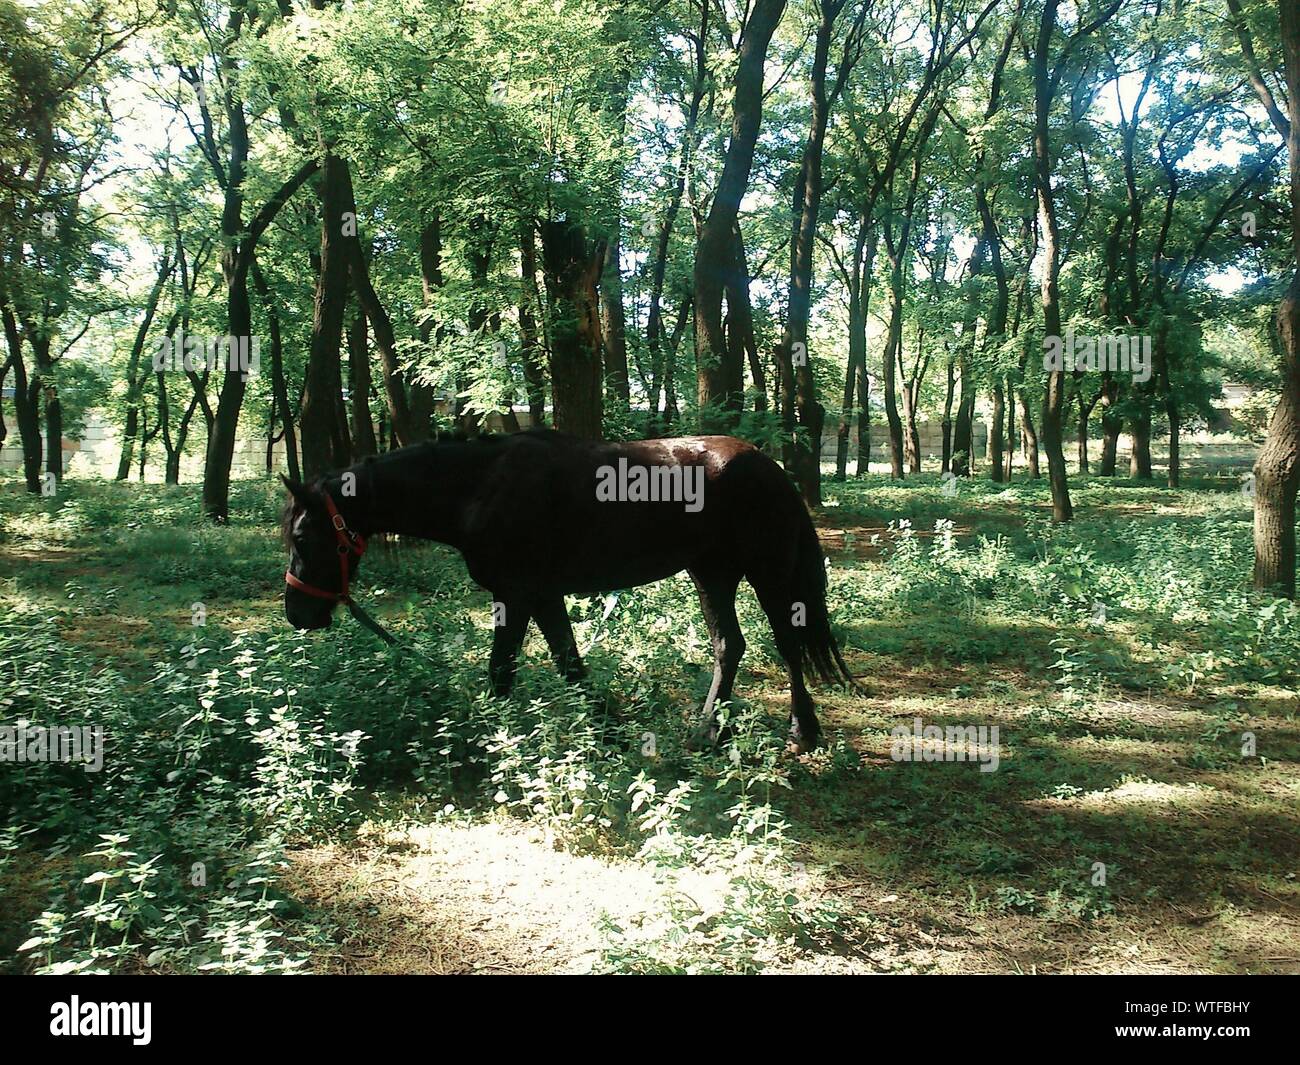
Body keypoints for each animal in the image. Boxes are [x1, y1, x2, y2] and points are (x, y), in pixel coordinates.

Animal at [280, 429, 854, 752]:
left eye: (304, 537)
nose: (298, 613)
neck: (479, 487)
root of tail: (769, 465)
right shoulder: (537, 596)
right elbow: (564, 663)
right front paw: (606, 731)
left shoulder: (519, 593)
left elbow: (511, 669)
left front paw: (496, 740)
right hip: (712, 574)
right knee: (728, 647)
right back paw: (708, 732)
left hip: (766, 573)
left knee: (787, 645)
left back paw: (802, 732)